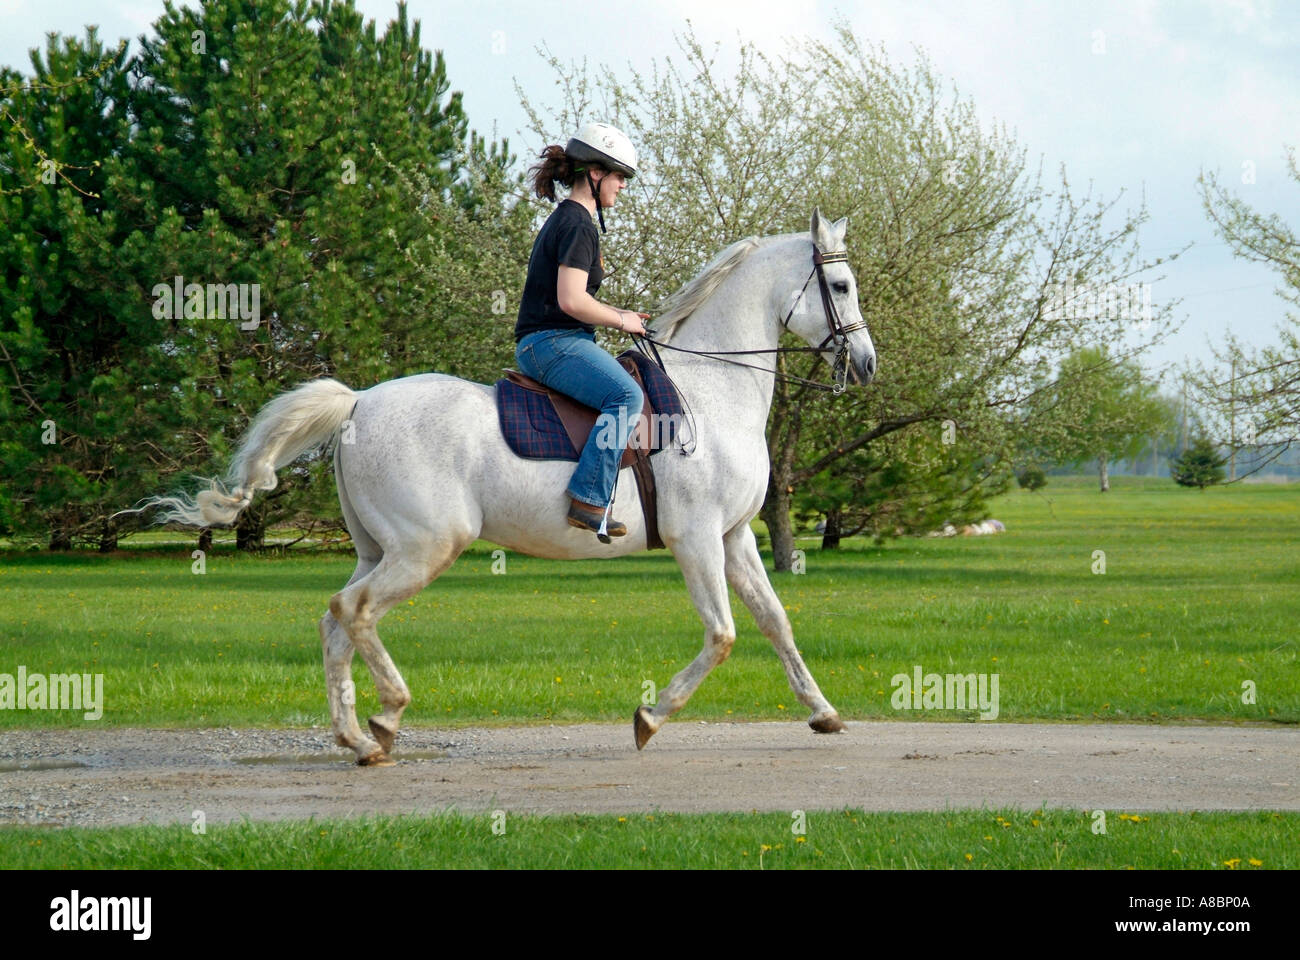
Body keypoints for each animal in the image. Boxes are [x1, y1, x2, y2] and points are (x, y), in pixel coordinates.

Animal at [138, 208, 877, 765]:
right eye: (840, 286)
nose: (867, 364)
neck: (713, 390)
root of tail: (357, 404)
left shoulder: (733, 537)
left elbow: (775, 621)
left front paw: (823, 712)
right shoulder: (695, 538)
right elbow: (722, 635)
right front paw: (649, 717)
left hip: (379, 549)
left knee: (335, 619)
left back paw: (356, 737)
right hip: (426, 547)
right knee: (356, 611)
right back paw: (387, 718)